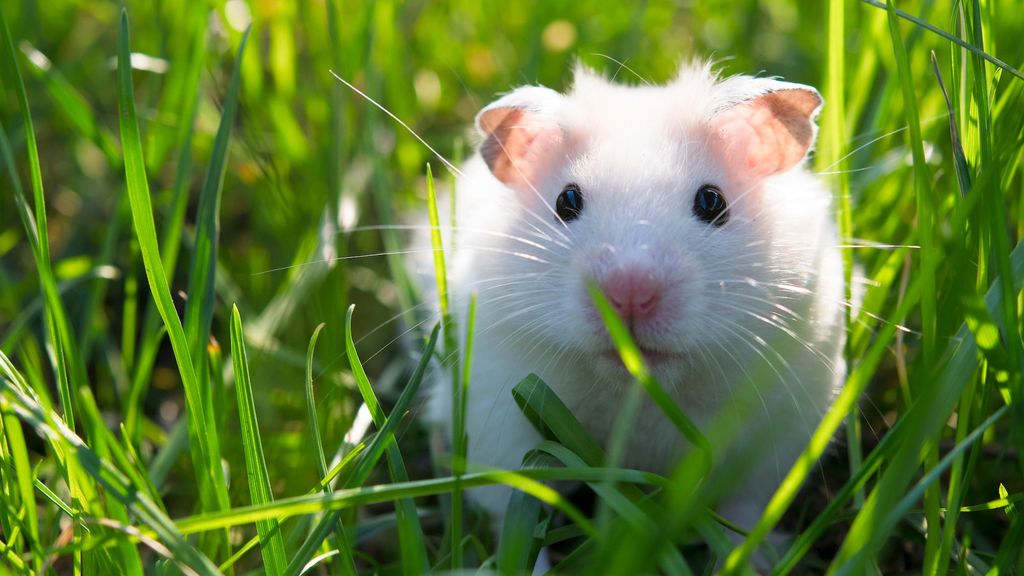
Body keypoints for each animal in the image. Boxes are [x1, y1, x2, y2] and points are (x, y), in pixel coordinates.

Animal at [422, 61, 846, 551]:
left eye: (712, 202)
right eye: (566, 201)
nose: (629, 293)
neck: (638, 392)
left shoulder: (777, 436)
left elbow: (744, 511)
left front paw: (750, 557)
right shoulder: (497, 418)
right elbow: (519, 506)